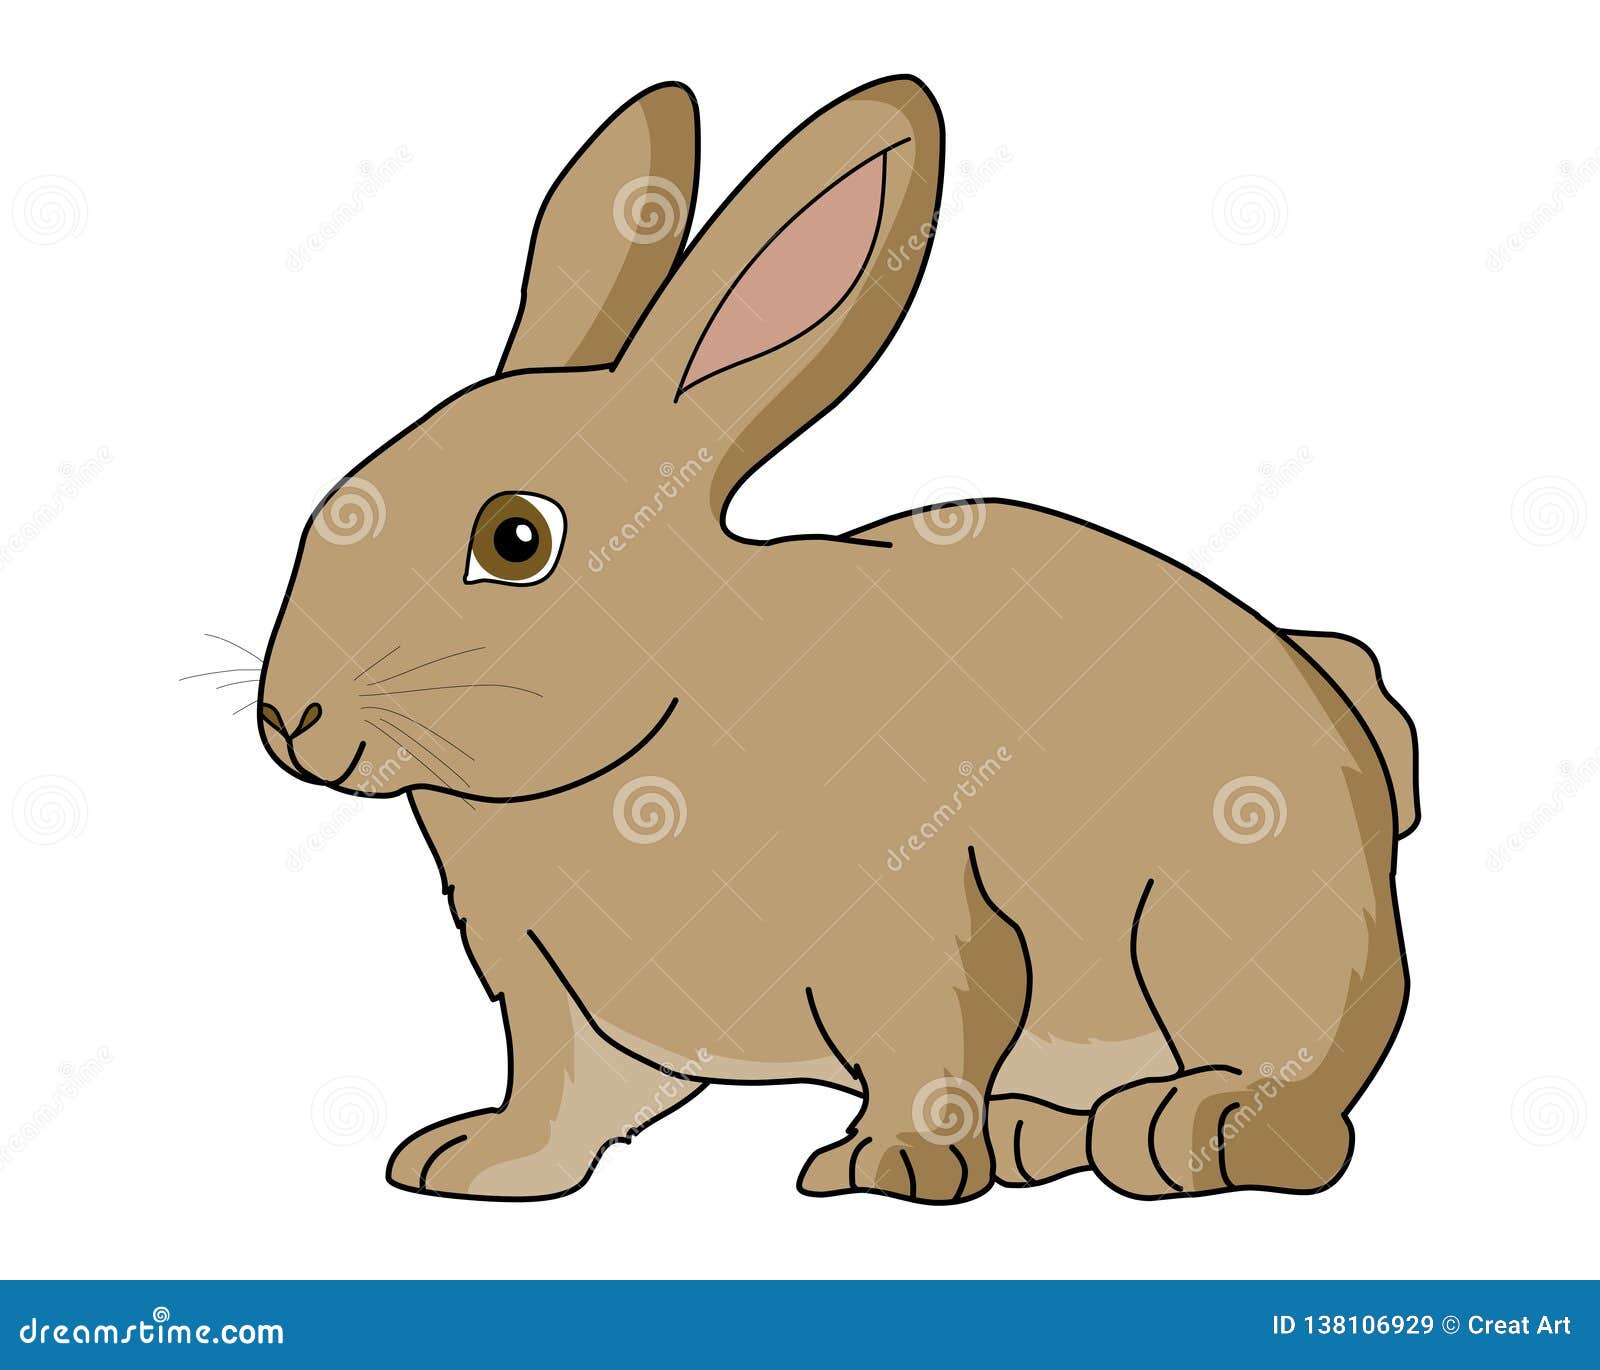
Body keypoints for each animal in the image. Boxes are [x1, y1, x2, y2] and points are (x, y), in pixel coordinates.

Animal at [259, 76, 1418, 1205]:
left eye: (515, 539)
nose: (289, 718)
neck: (666, 712)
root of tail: (1342, 704)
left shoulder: (916, 931)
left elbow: (929, 1044)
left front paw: (890, 1165)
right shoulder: (562, 1003)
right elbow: (563, 1095)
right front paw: (474, 1165)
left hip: (1224, 910)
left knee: (1301, 1101)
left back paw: (1183, 1126)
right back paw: (1035, 1134)